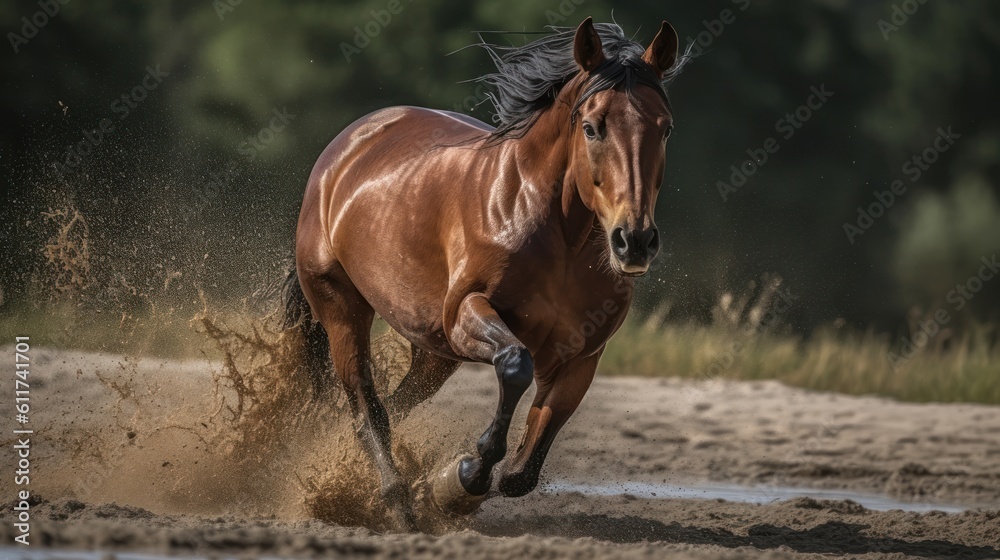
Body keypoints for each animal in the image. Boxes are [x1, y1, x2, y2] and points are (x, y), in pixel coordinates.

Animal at [283, 17, 685, 530]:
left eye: (665, 128)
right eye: (592, 127)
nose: (633, 240)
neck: (557, 233)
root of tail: (345, 149)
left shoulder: (582, 355)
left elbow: (522, 472)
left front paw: (450, 487)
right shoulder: (467, 312)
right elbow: (514, 365)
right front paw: (468, 472)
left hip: (434, 351)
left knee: (394, 405)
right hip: (343, 310)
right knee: (366, 406)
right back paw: (398, 504)